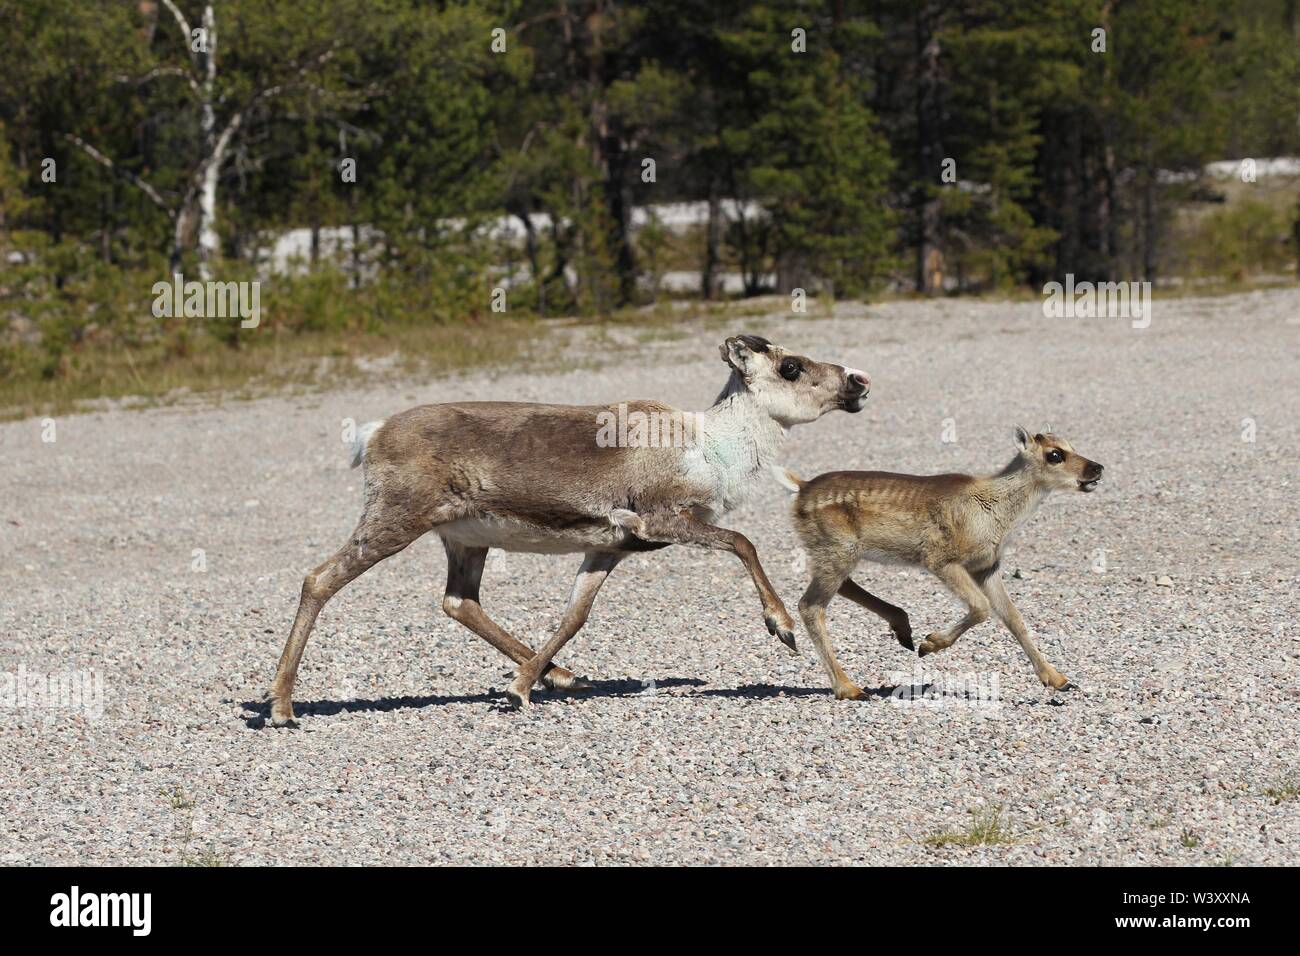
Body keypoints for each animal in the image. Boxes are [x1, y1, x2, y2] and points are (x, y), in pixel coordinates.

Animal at [265, 334, 870, 724]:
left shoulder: (609, 548)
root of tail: (371, 434)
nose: (858, 381)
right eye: (790, 367)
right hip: (395, 520)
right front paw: (781, 626)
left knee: (459, 601)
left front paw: (521, 686)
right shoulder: (662, 518)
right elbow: (743, 542)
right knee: (319, 578)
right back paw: (281, 709)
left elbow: (575, 615)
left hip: (466, 540)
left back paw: (563, 675)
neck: (711, 449)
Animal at [774, 427, 1104, 700]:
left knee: (841, 588)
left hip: (840, 552)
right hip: (837, 548)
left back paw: (902, 631)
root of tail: (799, 487)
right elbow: (982, 607)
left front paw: (1059, 679)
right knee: (810, 605)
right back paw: (850, 688)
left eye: (1071, 445)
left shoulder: (987, 566)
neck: (994, 512)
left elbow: (1014, 618)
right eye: (1054, 454)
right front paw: (929, 644)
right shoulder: (940, 558)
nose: (1097, 468)